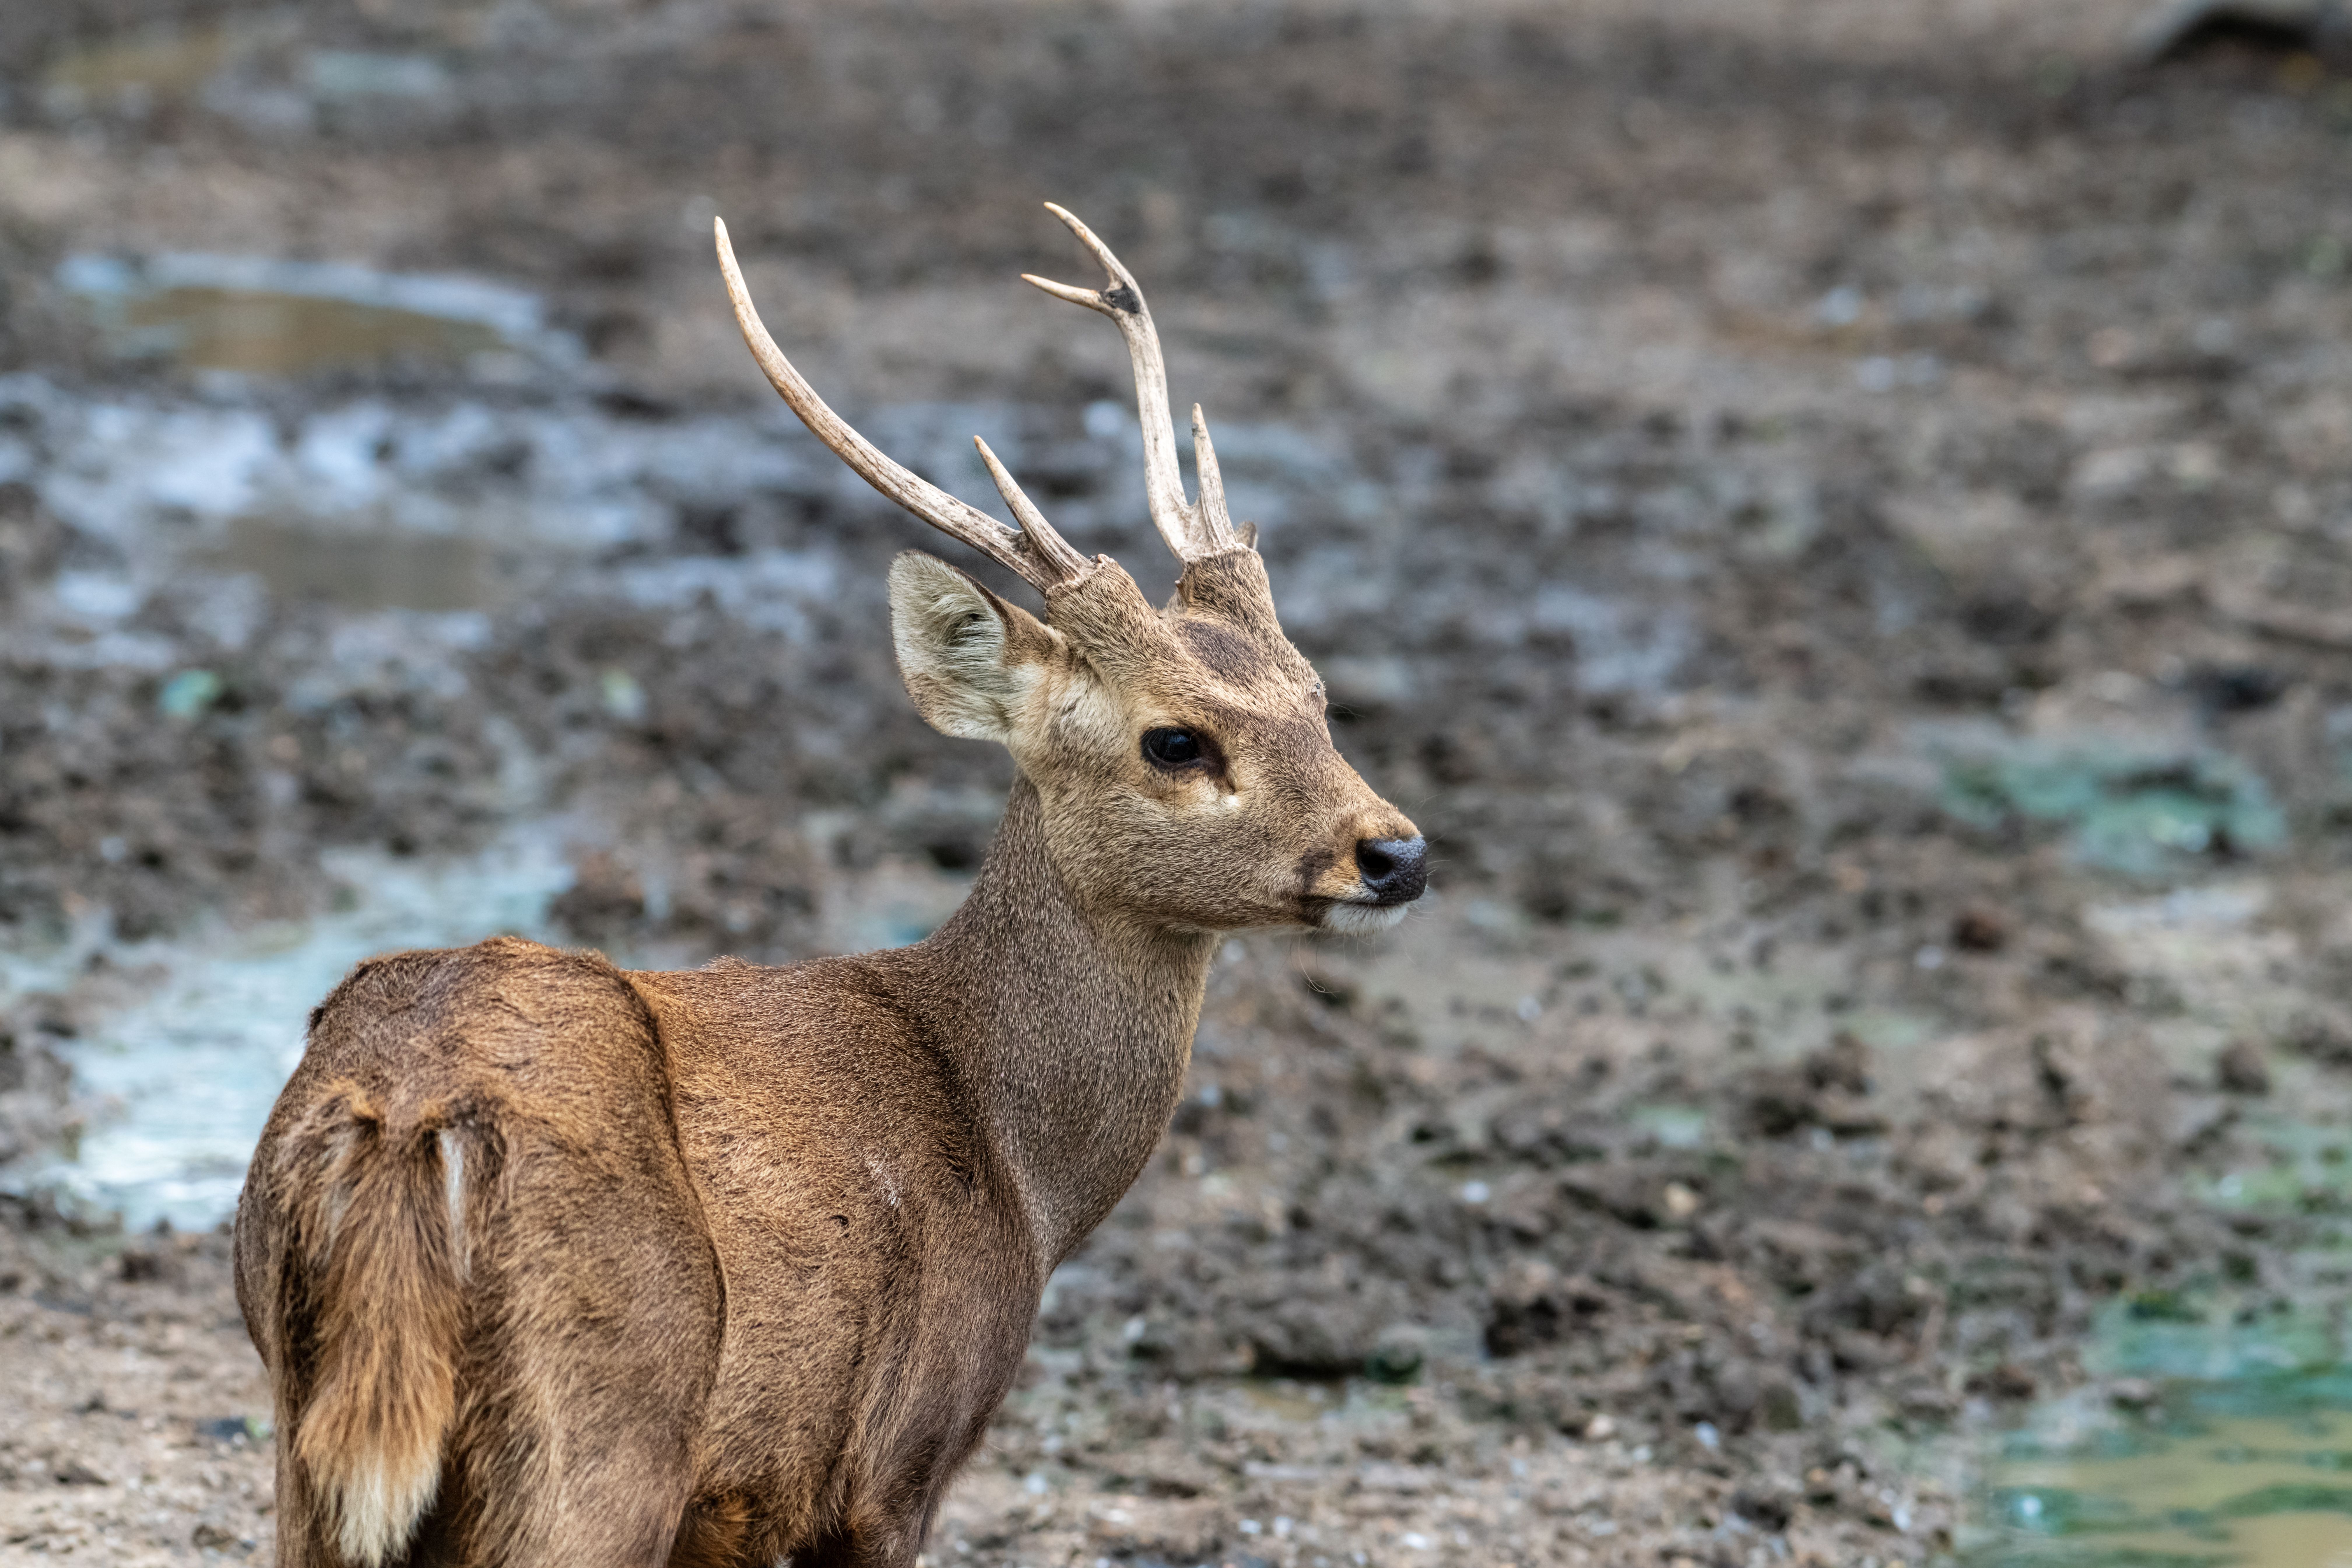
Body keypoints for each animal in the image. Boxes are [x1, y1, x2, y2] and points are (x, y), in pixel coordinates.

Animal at [232, 204, 1427, 1568]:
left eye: (1317, 695)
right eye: (1174, 740)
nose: (1395, 853)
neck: (1017, 1163)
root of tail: (404, 1122)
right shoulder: (888, 1465)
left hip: (313, 1429)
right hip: (597, 1430)